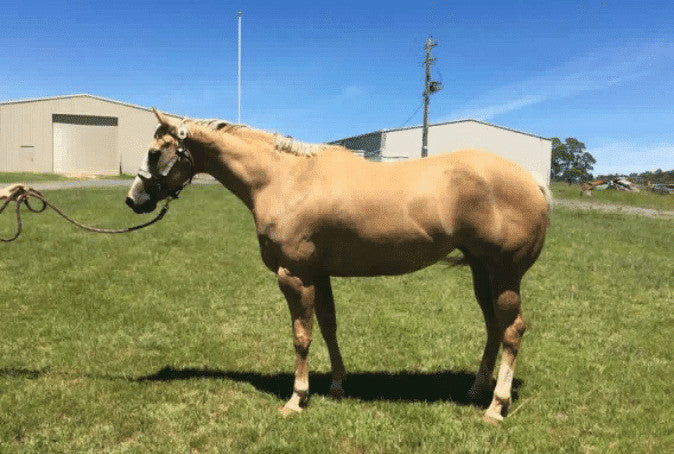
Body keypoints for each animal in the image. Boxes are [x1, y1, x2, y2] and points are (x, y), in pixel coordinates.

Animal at [126, 109, 551, 422]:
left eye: (154, 152)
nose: (133, 199)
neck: (284, 179)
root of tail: (532, 182)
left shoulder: (295, 276)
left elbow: (301, 335)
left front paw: (296, 398)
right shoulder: (318, 273)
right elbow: (328, 327)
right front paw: (336, 385)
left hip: (505, 274)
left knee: (512, 330)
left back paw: (496, 406)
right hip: (483, 270)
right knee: (494, 327)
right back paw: (477, 389)